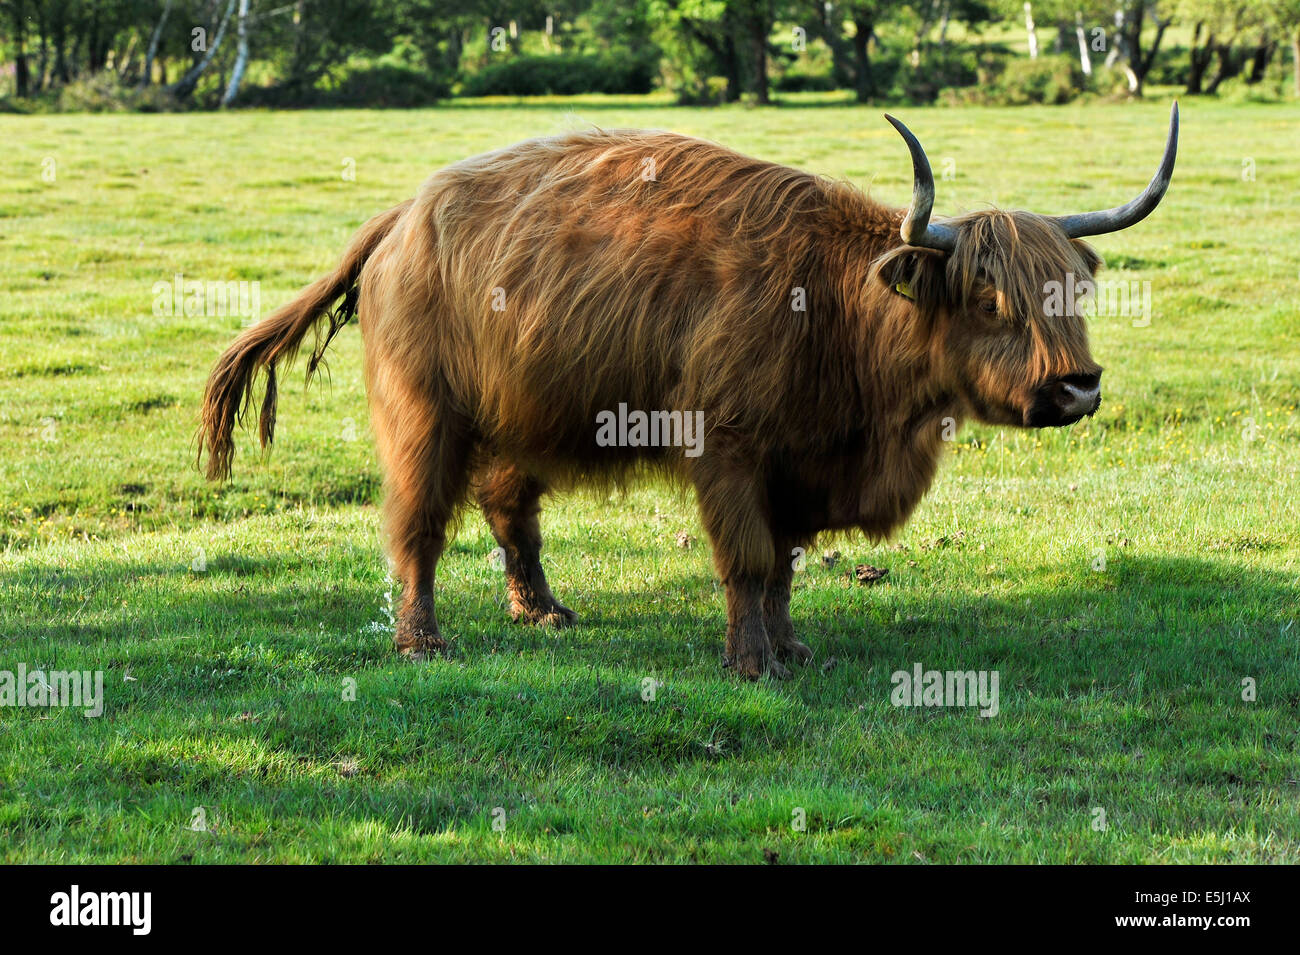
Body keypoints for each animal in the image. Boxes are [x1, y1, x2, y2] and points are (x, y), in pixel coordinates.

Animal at [199, 105, 1178, 680]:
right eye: (987, 296)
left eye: (1074, 290)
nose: (1076, 387)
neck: (837, 308)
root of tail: (405, 215)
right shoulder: (732, 450)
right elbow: (746, 559)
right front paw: (752, 665)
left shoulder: (800, 466)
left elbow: (783, 568)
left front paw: (793, 648)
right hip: (424, 412)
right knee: (418, 521)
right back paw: (422, 640)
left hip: (518, 410)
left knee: (511, 507)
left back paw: (544, 611)